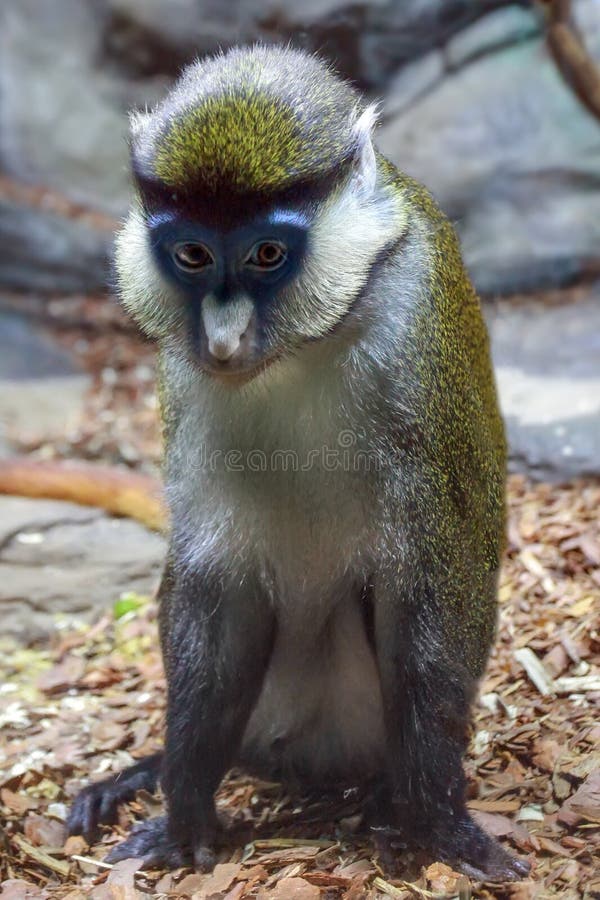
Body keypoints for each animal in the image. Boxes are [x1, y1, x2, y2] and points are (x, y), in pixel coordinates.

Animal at [66, 46, 530, 881]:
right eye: (192, 254)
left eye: (267, 254)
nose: (222, 340)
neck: (307, 343)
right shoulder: (188, 380)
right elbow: (217, 581)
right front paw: (183, 809)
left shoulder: (417, 329)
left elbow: (433, 574)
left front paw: (440, 827)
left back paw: (383, 798)